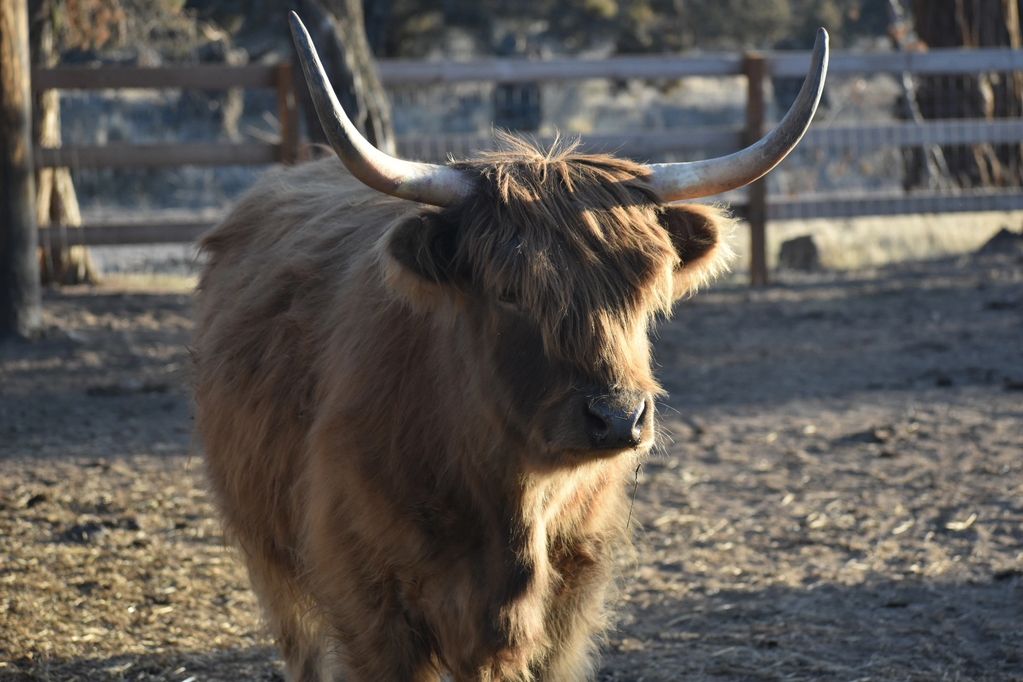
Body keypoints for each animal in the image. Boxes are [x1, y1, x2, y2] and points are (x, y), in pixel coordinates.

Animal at [192, 13, 828, 682]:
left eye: (644, 285)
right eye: (509, 291)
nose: (618, 418)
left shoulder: (570, 595)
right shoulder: (370, 600)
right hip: (270, 556)